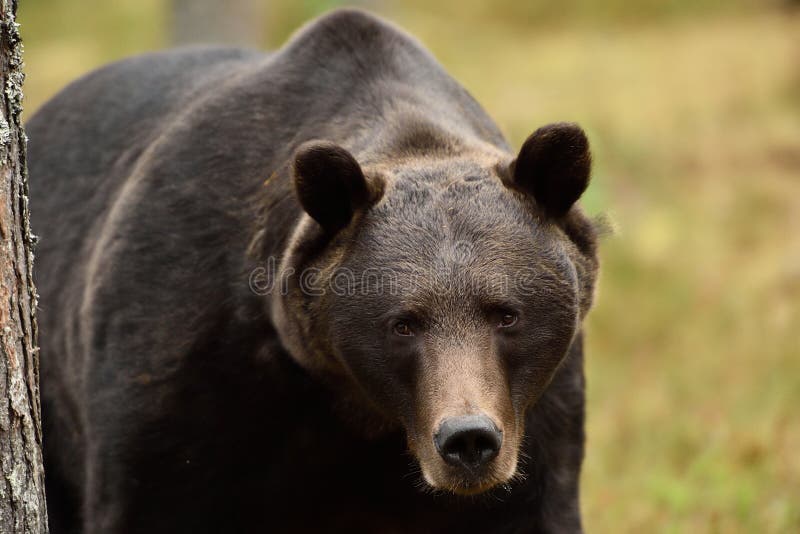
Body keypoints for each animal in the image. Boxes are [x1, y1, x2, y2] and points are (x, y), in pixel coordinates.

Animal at [27, 9, 599, 534]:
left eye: (506, 314)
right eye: (403, 323)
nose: (468, 439)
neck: (356, 404)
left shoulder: (540, 416)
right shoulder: (186, 357)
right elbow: (150, 492)